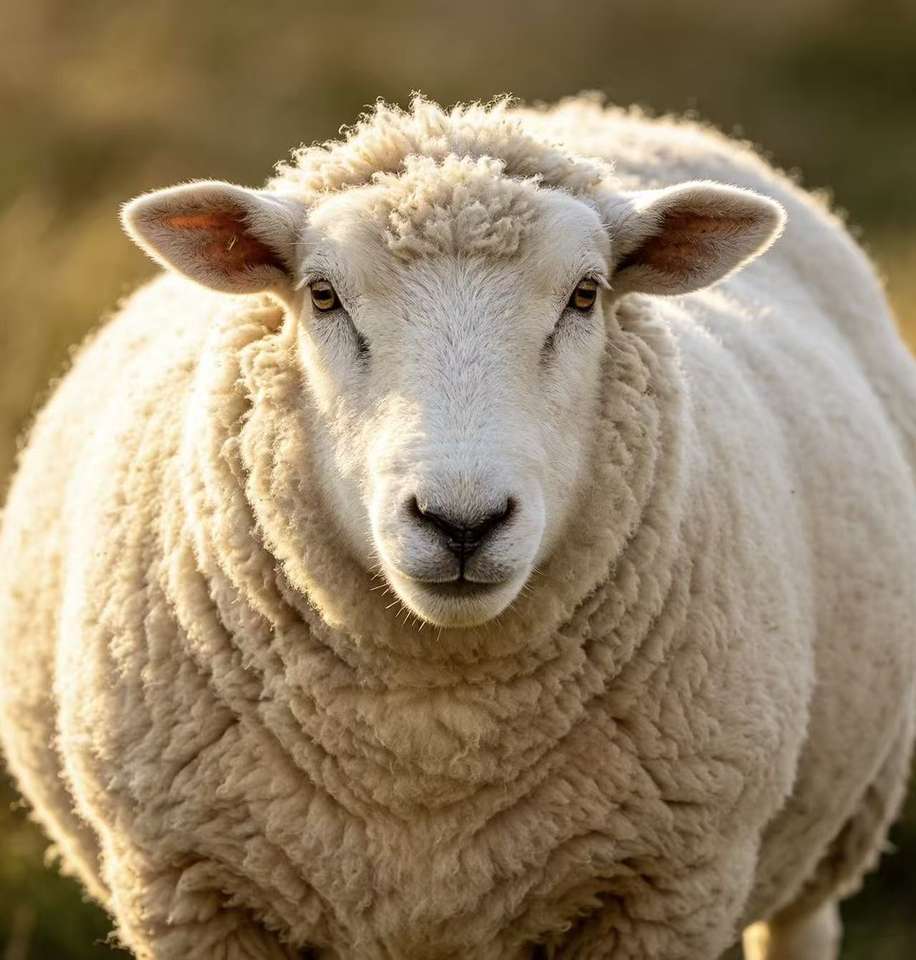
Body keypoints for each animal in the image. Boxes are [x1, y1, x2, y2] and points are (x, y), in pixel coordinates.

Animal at [0, 94, 914, 960]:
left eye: (586, 294)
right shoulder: (190, 887)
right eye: (322, 295)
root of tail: (583, 110)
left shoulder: (664, 891)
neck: (430, 750)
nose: (462, 521)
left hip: (841, 820)